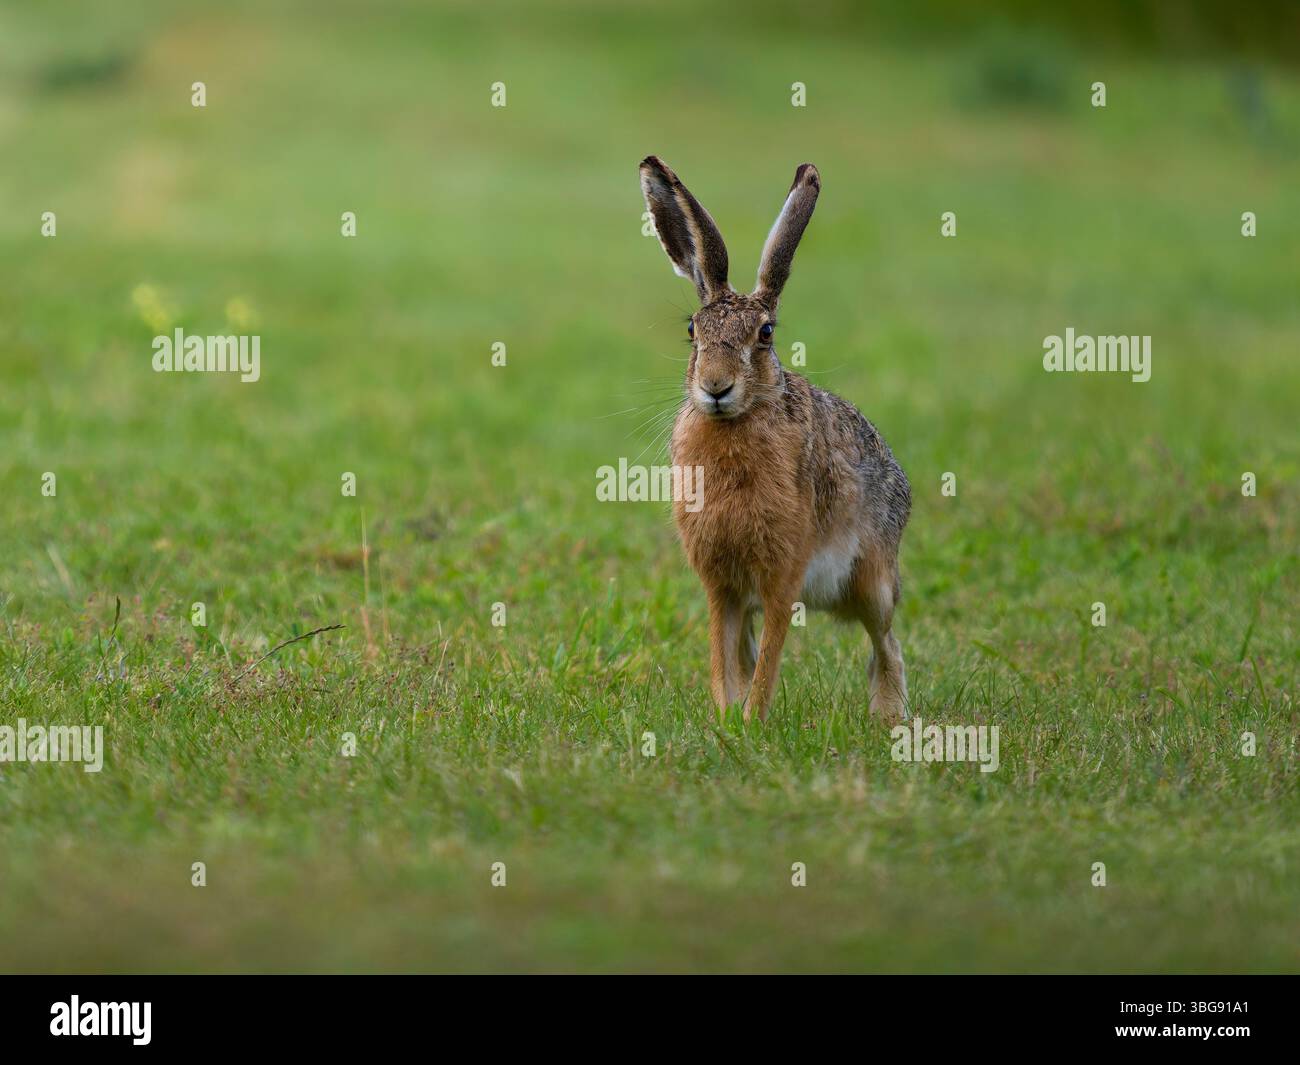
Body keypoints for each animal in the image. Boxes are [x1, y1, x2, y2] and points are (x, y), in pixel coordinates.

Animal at [639, 156, 911, 723]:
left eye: (765, 334)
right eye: (693, 332)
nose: (715, 387)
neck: (735, 422)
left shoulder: (784, 573)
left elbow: (770, 656)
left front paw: (752, 721)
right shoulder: (721, 584)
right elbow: (725, 655)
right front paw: (726, 716)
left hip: (873, 578)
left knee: (887, 641)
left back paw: (889, 715)